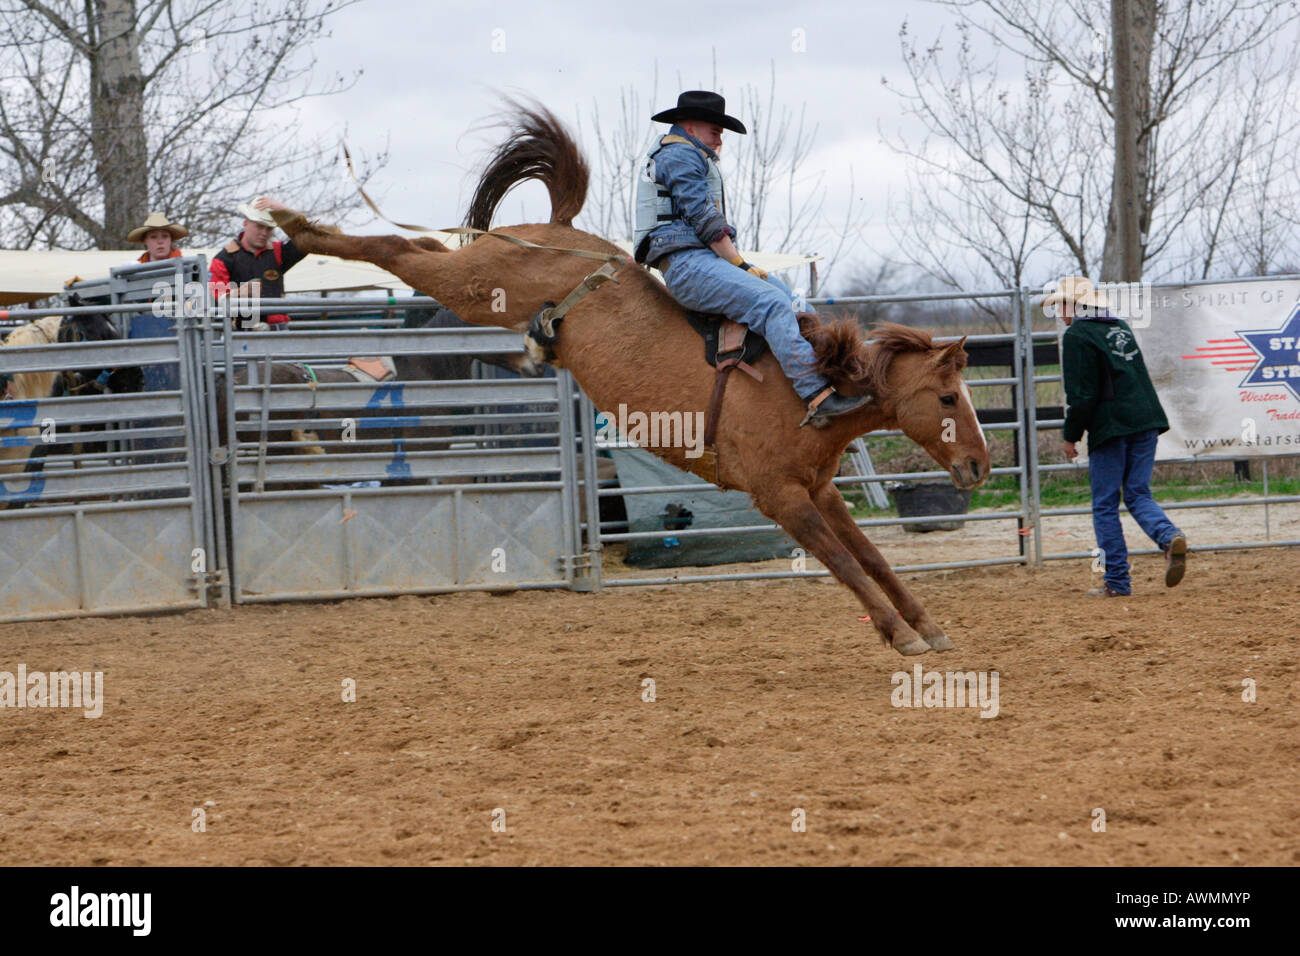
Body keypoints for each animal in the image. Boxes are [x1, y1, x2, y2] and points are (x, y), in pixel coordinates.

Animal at [264, 103, 990, 656]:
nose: (981, 466)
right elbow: (842, 563)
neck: (808, 388)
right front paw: (903, 636)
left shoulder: (821, 491)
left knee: (421, 248)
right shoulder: (780, 498)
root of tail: (555, 233)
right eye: (947, 396)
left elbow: (871, 556)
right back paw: (295, 223)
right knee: (399, 250)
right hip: (475, 285)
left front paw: (928, 625)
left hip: (477, 287)